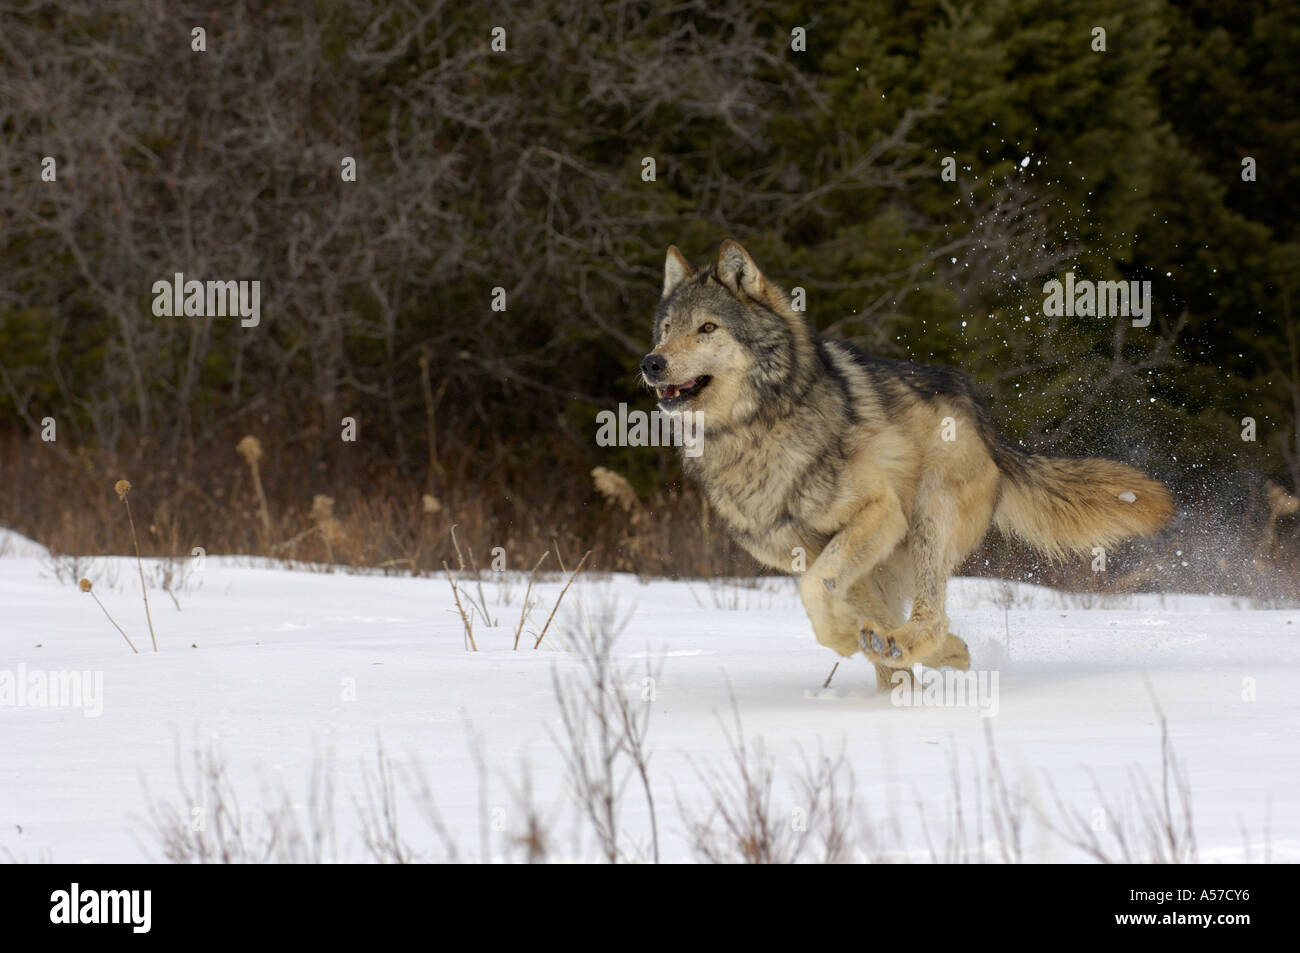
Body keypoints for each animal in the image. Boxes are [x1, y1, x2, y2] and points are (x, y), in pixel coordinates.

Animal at [641, 240, 1174, 690]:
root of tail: (986, 425)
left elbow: (815, 590)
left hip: (928, 515)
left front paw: (843, 638)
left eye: (707, 328)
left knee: (929, 615)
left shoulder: (879, 512)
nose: (651, 363)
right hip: (884, 559)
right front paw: (857, 640)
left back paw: (907, 648)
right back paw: (920, 663)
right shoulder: (806, 551)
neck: (753, 433)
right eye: (667, 330)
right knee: (906, 627)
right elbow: (824, 592)